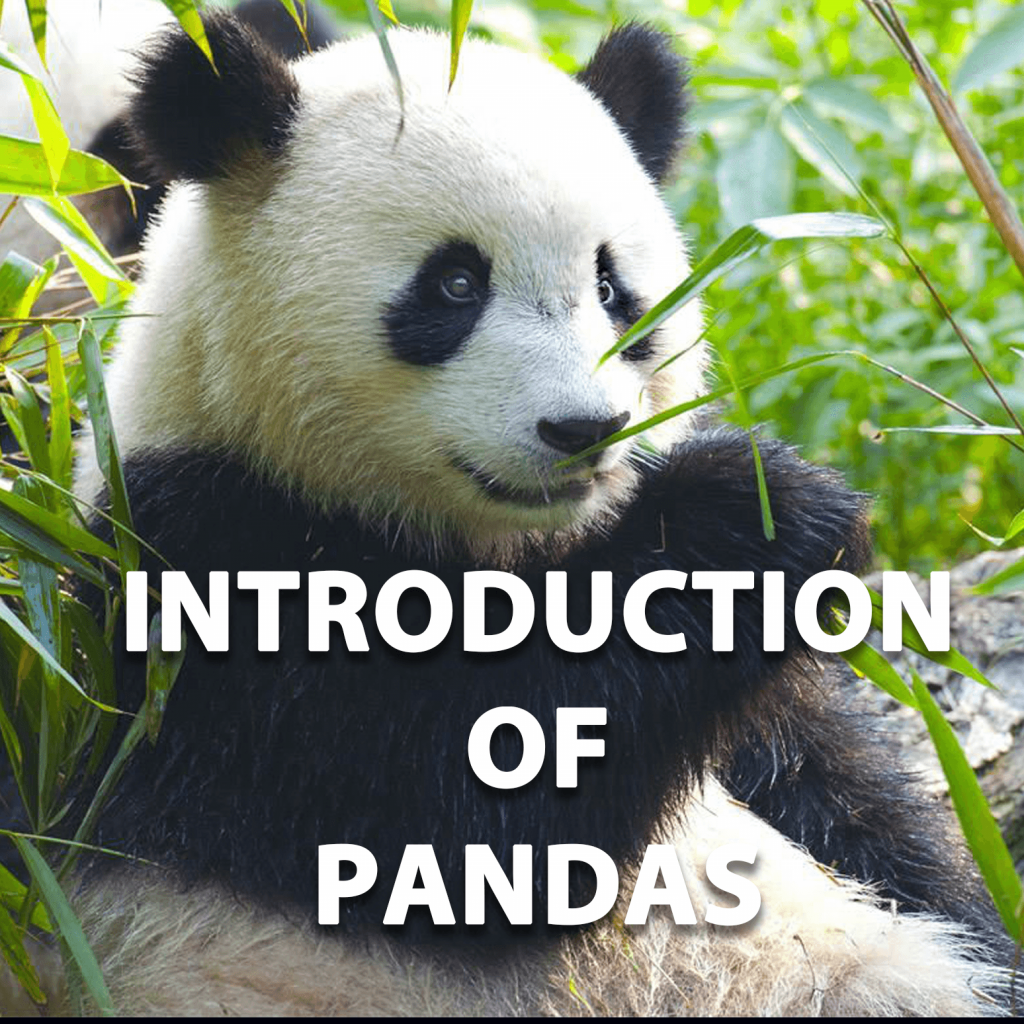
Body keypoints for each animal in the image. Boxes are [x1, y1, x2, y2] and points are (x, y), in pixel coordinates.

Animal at [16, 9, 1013, 1017]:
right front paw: (752, 507)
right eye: (456, 284)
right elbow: (464, 819)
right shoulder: (202, 580)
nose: (584, 429)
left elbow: (848, 802)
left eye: (613, 289)